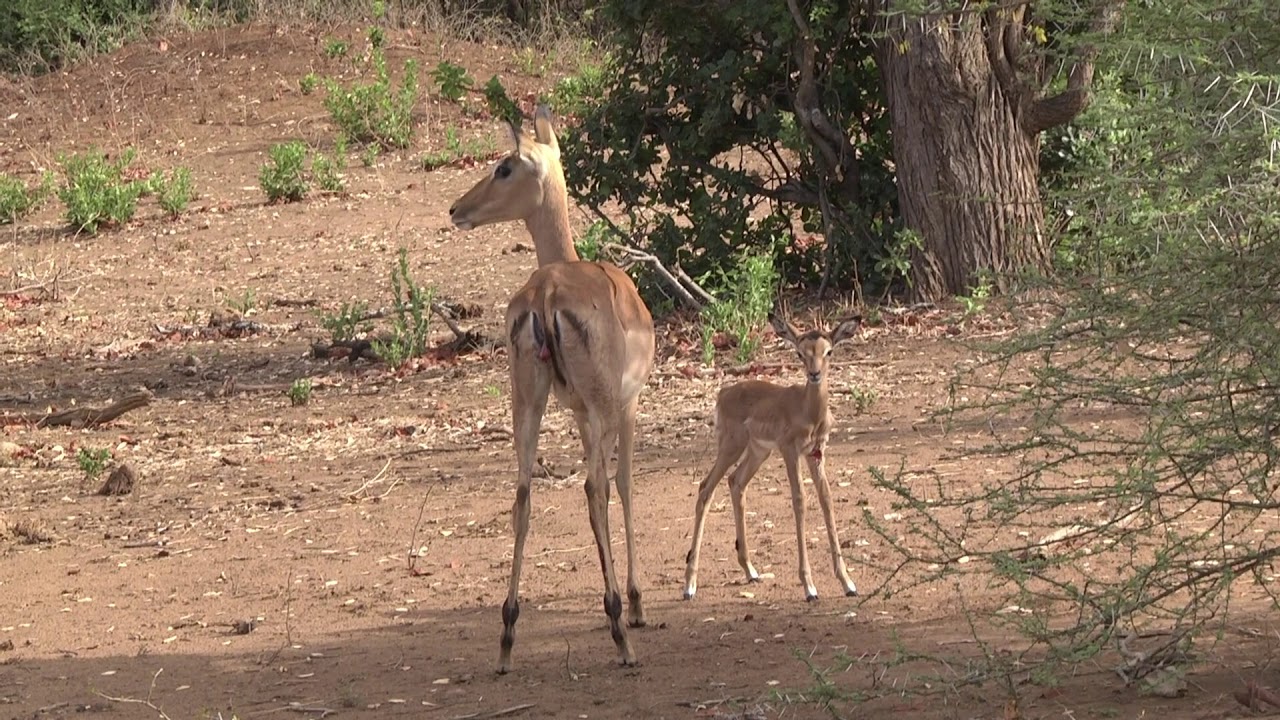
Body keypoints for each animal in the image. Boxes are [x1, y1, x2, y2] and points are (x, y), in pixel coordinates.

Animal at [448, 106, 655, 673]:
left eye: (503, 167)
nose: (456, 208)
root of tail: (545, 291)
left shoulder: (581, 413)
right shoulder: (624, 406)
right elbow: (624, 485)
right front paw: (635, 603)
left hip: (528, 402)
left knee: (522, 493)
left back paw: (507, 637)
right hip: (599, 405)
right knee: (594, 486)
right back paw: (620, 633)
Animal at [683, 314, 863, 602]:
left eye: (829, 351)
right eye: (800, 353)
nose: (814, 374)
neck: (808, 411)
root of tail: (723, 394)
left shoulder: (816, 453)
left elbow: (826, 500)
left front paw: (848, 583)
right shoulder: (790, 450)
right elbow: (799, 501)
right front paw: (809, 587)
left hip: (758, 451)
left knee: (736, 482)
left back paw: (751, 571)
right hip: (732, 446)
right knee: (705, 488)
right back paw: (689, 586)